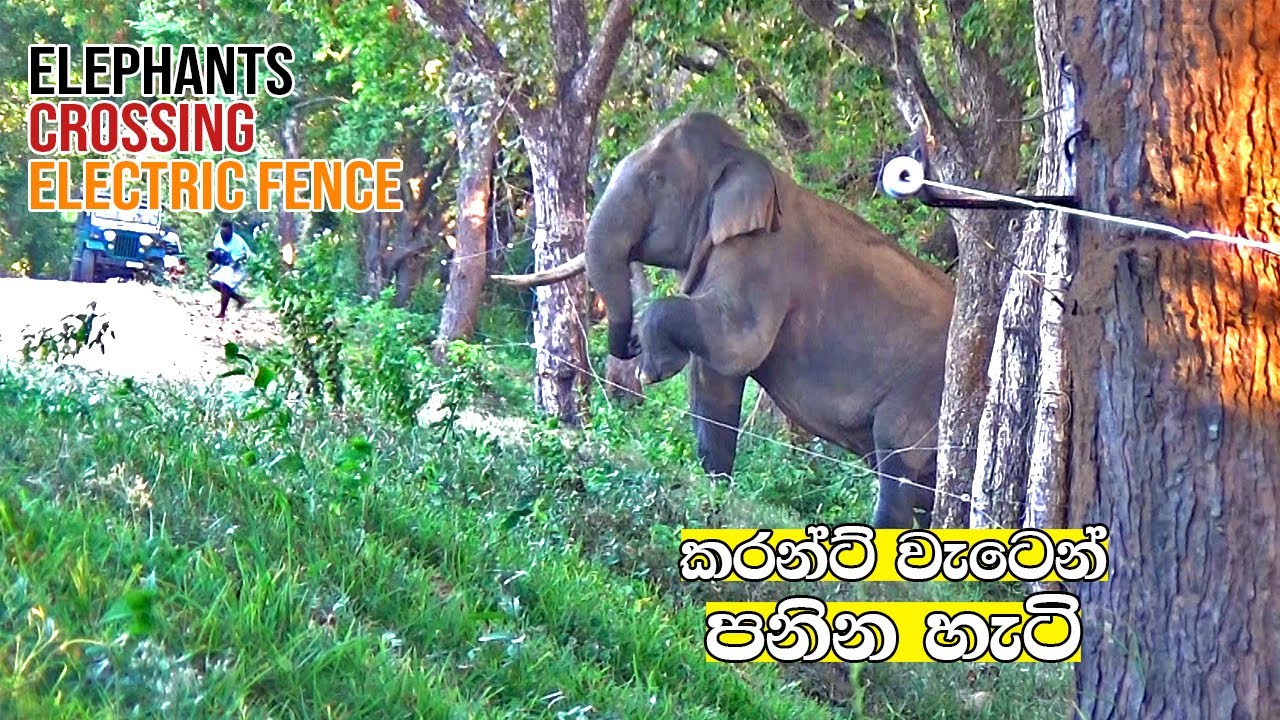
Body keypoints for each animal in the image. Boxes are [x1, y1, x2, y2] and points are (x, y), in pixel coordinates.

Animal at [493, 112, 956, 528]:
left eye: (655, 180)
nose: (631, 345)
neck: (749, 162)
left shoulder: (761, 258)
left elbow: (738, 344)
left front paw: (655, 369)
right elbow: (713, 380)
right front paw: (715, 488)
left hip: (920, 394)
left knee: (897, 465)